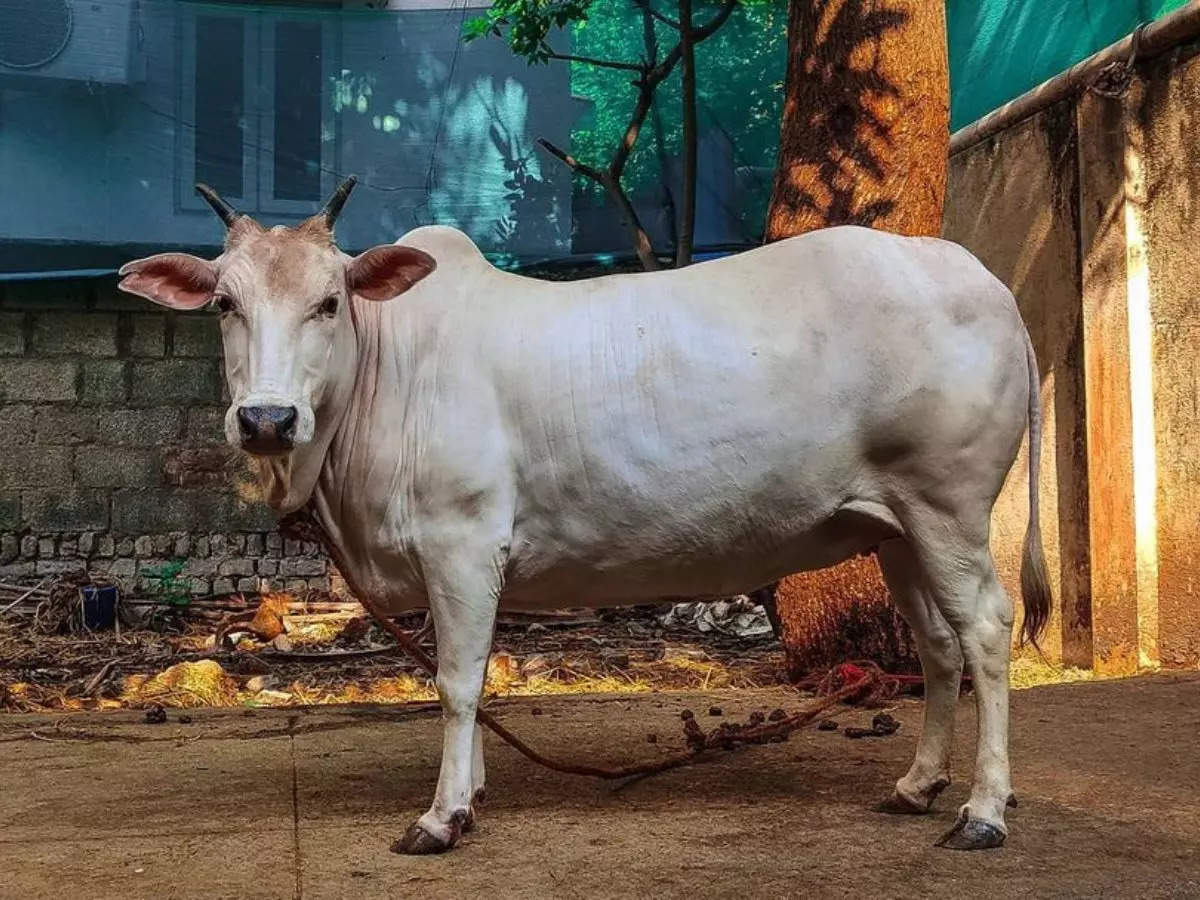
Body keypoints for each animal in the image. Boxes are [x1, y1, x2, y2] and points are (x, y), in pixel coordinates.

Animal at [119, 177, 1050, 855]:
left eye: (330, 302)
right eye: (225, 305)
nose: (267, 419)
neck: (386, 370)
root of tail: (982, 280)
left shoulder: (461, 545)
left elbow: (456, 682)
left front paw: (441, 816)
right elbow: (472, 675)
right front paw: (472, 792)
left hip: (949, 505)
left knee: (985, 630)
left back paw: (983, 811)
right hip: (898, 526)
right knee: (936, 643)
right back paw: (917, 786)